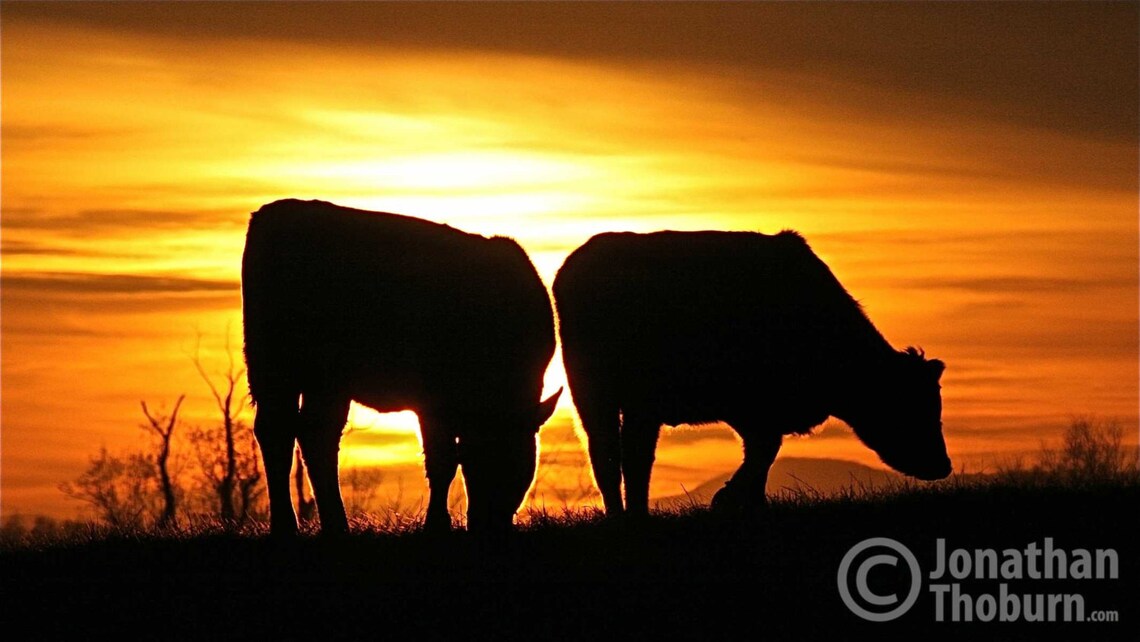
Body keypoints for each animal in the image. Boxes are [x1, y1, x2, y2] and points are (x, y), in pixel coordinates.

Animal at [242, 199, 561, 535]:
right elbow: (441, 461)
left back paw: (334, 524)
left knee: (315, 436)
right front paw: (437, 525)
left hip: (324, 383)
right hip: (273, 368)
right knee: (278, 433)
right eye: (478, 459)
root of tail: (276, 212)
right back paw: (287, 525)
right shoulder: (434, 402)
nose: (487, 523)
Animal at [552, 230, 951, 516]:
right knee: (626, 455)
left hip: (598, 397)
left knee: (610, 453)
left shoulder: (759, 415)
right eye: (914, 405)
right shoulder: (754, 407)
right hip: (622, 397)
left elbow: (762, 457)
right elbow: (762, 453)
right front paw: (725, 500)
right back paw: (633, 516)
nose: (943, 465)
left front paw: (751, 504)